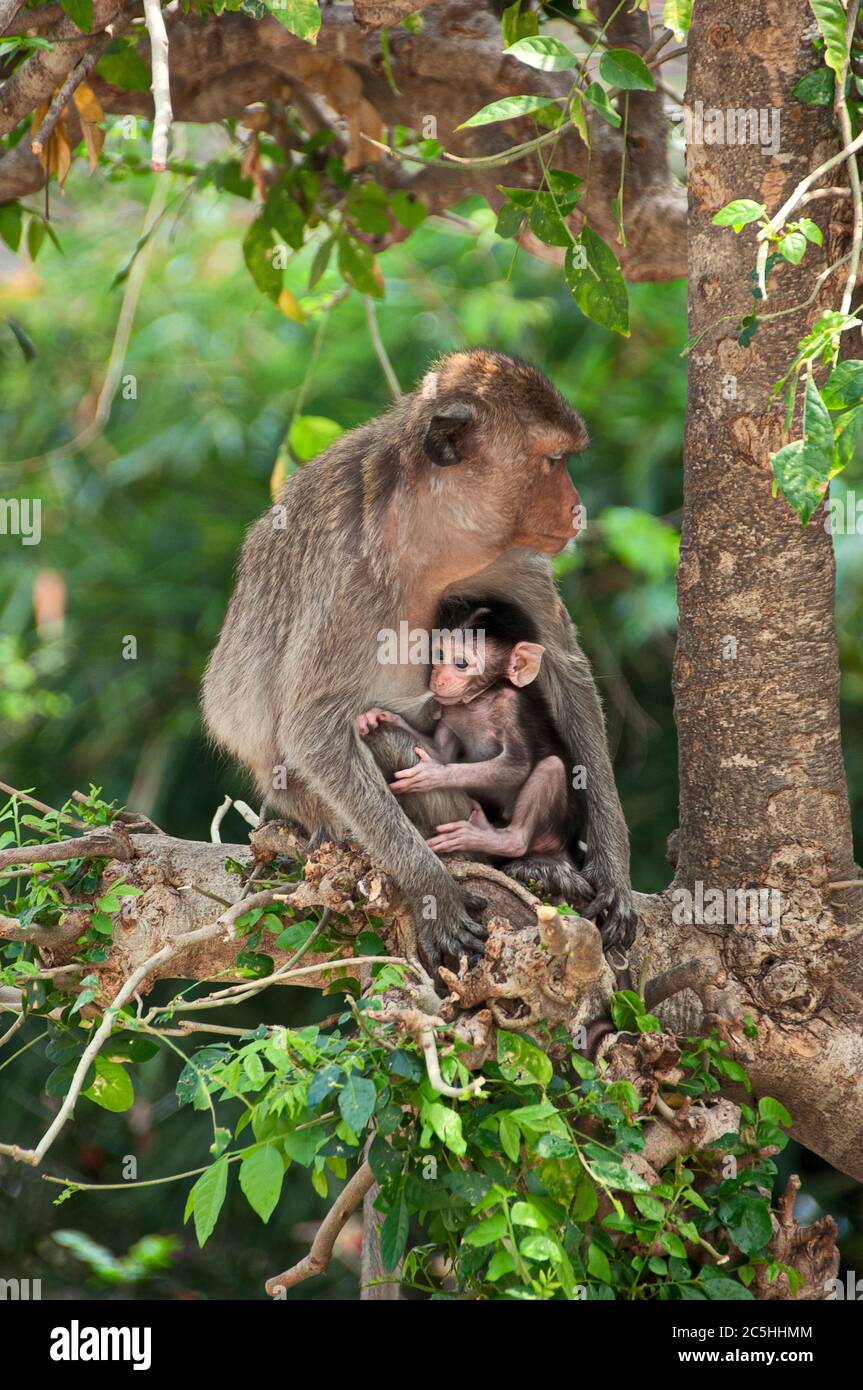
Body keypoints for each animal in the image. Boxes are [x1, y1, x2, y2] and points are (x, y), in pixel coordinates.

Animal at [355, 596, 593, 902]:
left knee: (550, 768)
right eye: (440, 654)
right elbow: (440, 751)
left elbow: (515, 767)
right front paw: (381, 717)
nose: (438, 680)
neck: (480, 698)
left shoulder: (510, 707)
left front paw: (434, 775)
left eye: (461, 663)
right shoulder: (449, 709)